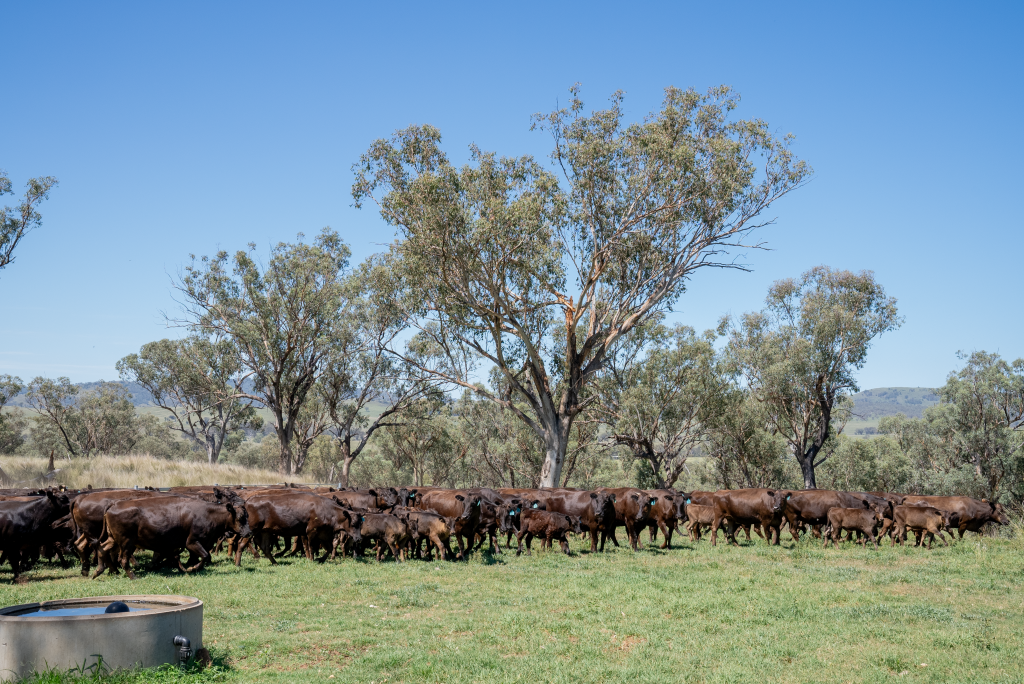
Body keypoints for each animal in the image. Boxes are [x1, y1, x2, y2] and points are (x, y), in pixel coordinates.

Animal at [95, 490, 250, 579]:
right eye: (240, 518)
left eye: (247, 516)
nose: (249, 533)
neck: (209, 513)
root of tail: (115, 504)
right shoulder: (192, 542)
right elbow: (206, 556)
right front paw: (192, 568)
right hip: (127, 543)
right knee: (123, 559)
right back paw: (133, 576)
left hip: (113, 539)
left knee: (102, 548)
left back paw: (98, 571)